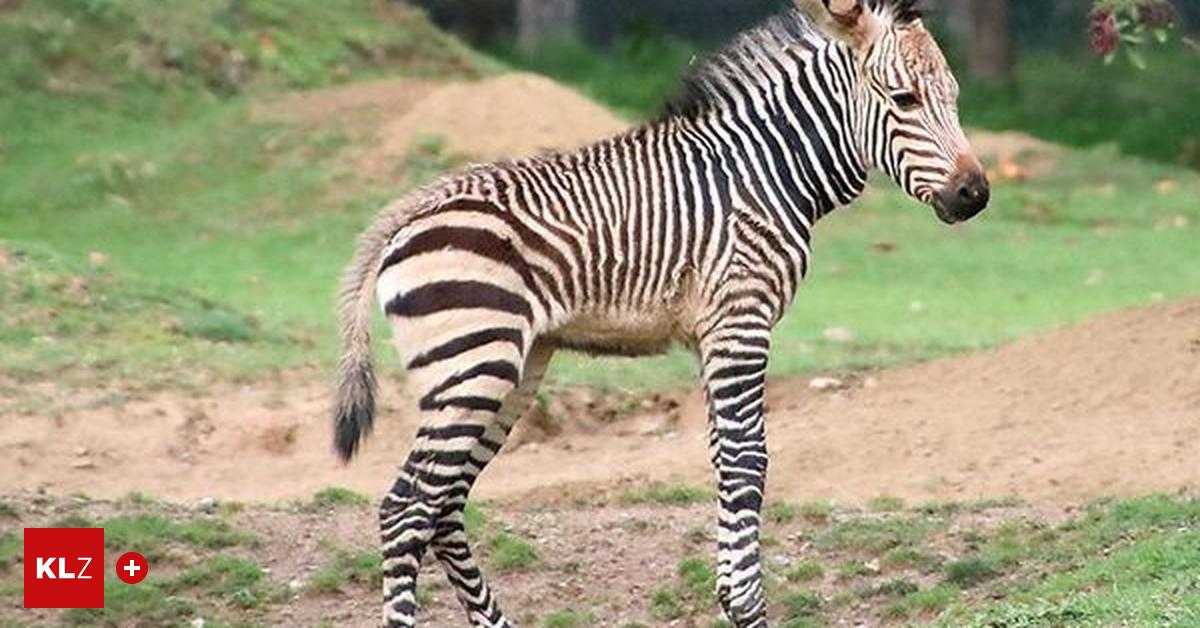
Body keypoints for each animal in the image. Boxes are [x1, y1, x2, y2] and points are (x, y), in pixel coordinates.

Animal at [333, 0, 990, 625]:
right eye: (904, 99)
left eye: (955, 97)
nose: (975, 195)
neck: (763, 170)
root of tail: (409, 216)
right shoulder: (741, 319)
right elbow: (748, 460)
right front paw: (746, 607)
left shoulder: (712, 334)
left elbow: (724, 457)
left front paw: (731, 595)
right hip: (473, 365)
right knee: (407, 508)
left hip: (507, 370)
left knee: (443, 506)